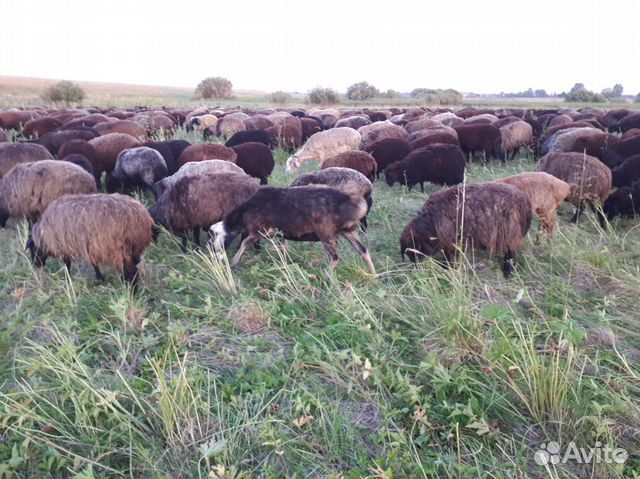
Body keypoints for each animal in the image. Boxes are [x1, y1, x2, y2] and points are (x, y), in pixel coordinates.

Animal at [210, 186, 376, 274]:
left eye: (215, 236)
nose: (214, 253)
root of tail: (351, 201)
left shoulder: (260, 230)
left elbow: (244, 243)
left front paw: (233, 262)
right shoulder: (279, 233)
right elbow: (282, 247)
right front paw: (284, 263)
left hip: (326, 235)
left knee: (335, 257)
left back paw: (327, 277)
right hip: (348, 232)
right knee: (363, 250)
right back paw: (374, 275)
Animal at [399, 183, 532, 277]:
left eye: (414, 250)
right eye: (408, 254)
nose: (416, 269)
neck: (431, 220)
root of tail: (525, 201)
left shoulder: (449, 240)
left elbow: (448, 256)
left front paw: (447, 267)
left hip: (509, 232)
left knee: (510, 253)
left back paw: (507, 272)